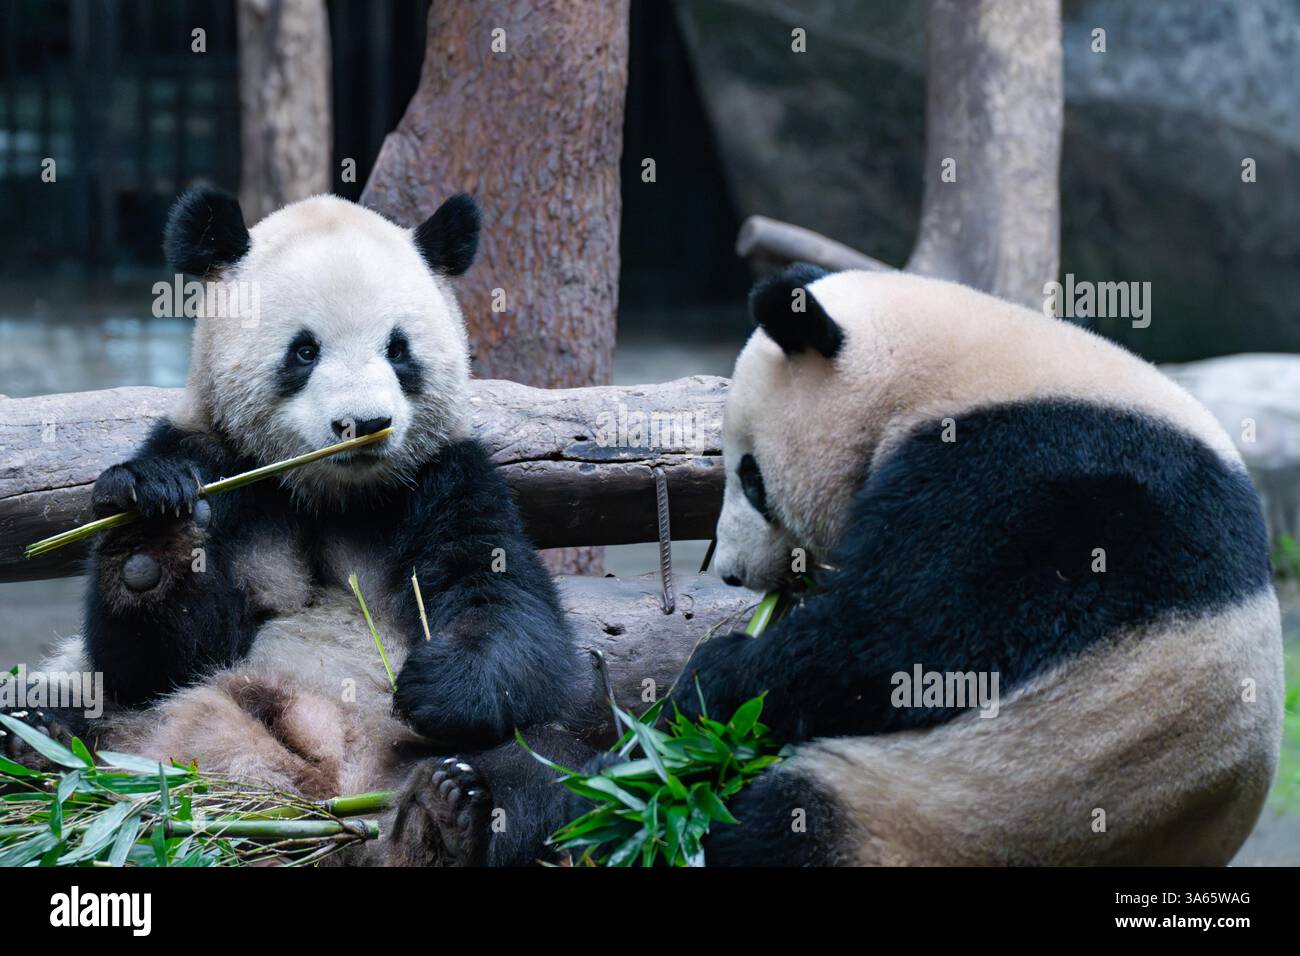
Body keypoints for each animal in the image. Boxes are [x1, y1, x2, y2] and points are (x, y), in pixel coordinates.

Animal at [4, 187, 591, 866]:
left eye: (398, 349)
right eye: (304, 351)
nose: (364, 424)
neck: (332, 494)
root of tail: (323, 795)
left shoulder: (450, 479)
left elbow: (511, 609)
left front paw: (436, 683)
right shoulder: (215, 458)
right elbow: (154, 663)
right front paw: (147, 543)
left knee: (552, 761)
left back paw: (442, 817)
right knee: (65, 712)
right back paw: (39, 742)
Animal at [436, 264, 1284, 866]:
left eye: (751, 476)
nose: (733, 575)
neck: (951, 367)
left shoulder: (1045, 477)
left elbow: (908, 641)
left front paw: (721, 668)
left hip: (944, 812)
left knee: (756, 827)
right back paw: (488, 799)